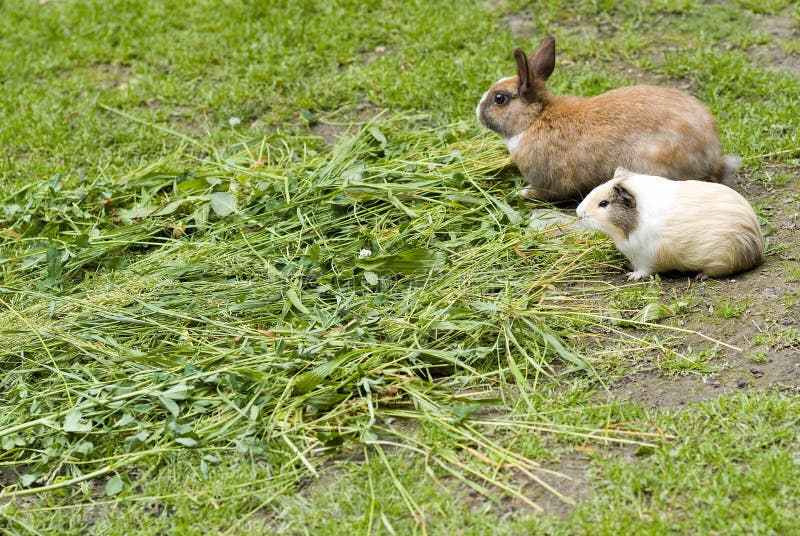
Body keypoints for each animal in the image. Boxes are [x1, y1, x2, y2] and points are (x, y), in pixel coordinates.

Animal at [476, 34, 740, 202]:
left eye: (499, 98)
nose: (477, 113)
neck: (535, 118)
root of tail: (711, 159)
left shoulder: (550, 181)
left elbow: (548, 193)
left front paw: (521, 194)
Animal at [576, 167, 763, 280]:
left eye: (604, 203)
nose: (579, 212)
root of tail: (757, 248)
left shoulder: (646, 258)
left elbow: (643, 270)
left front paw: (630, 275)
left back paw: (700, 276)